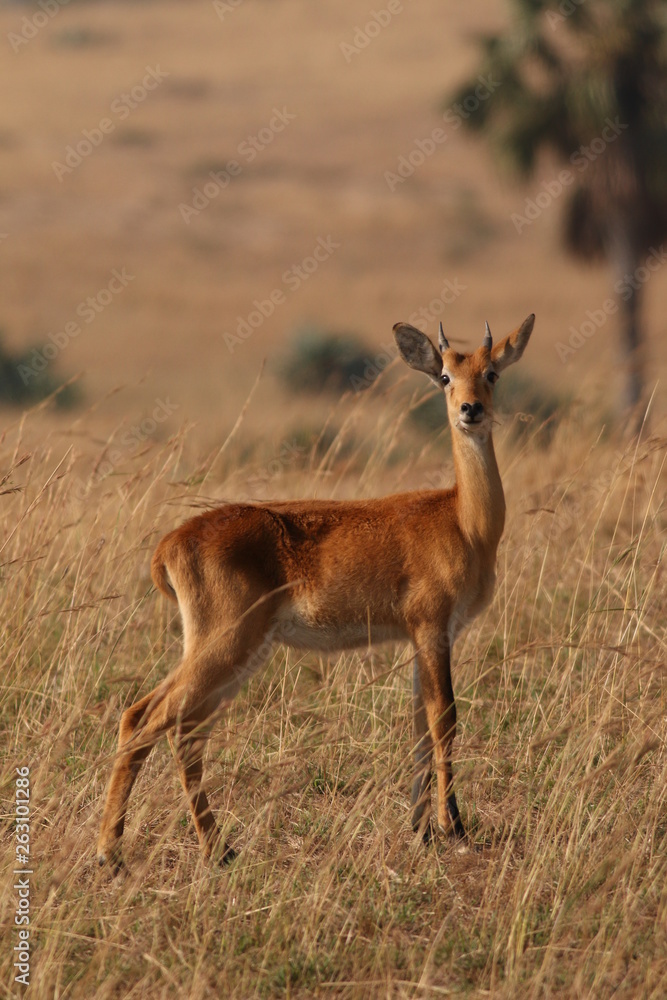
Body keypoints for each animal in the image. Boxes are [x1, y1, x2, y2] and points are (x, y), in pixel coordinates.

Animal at [97, 313, 535, 870]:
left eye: (491, 372)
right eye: (444, 376)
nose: (470, 410)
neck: (461, 519)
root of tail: (170, 544)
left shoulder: (422, 638)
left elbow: (419, 724)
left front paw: (421, 830)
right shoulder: (433, 628)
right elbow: (445, 719)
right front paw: (452, 827)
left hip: (235, 655)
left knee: (172, 727)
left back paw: (218, 850)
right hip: (226, 646)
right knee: (151, 721)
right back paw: (113, 853)